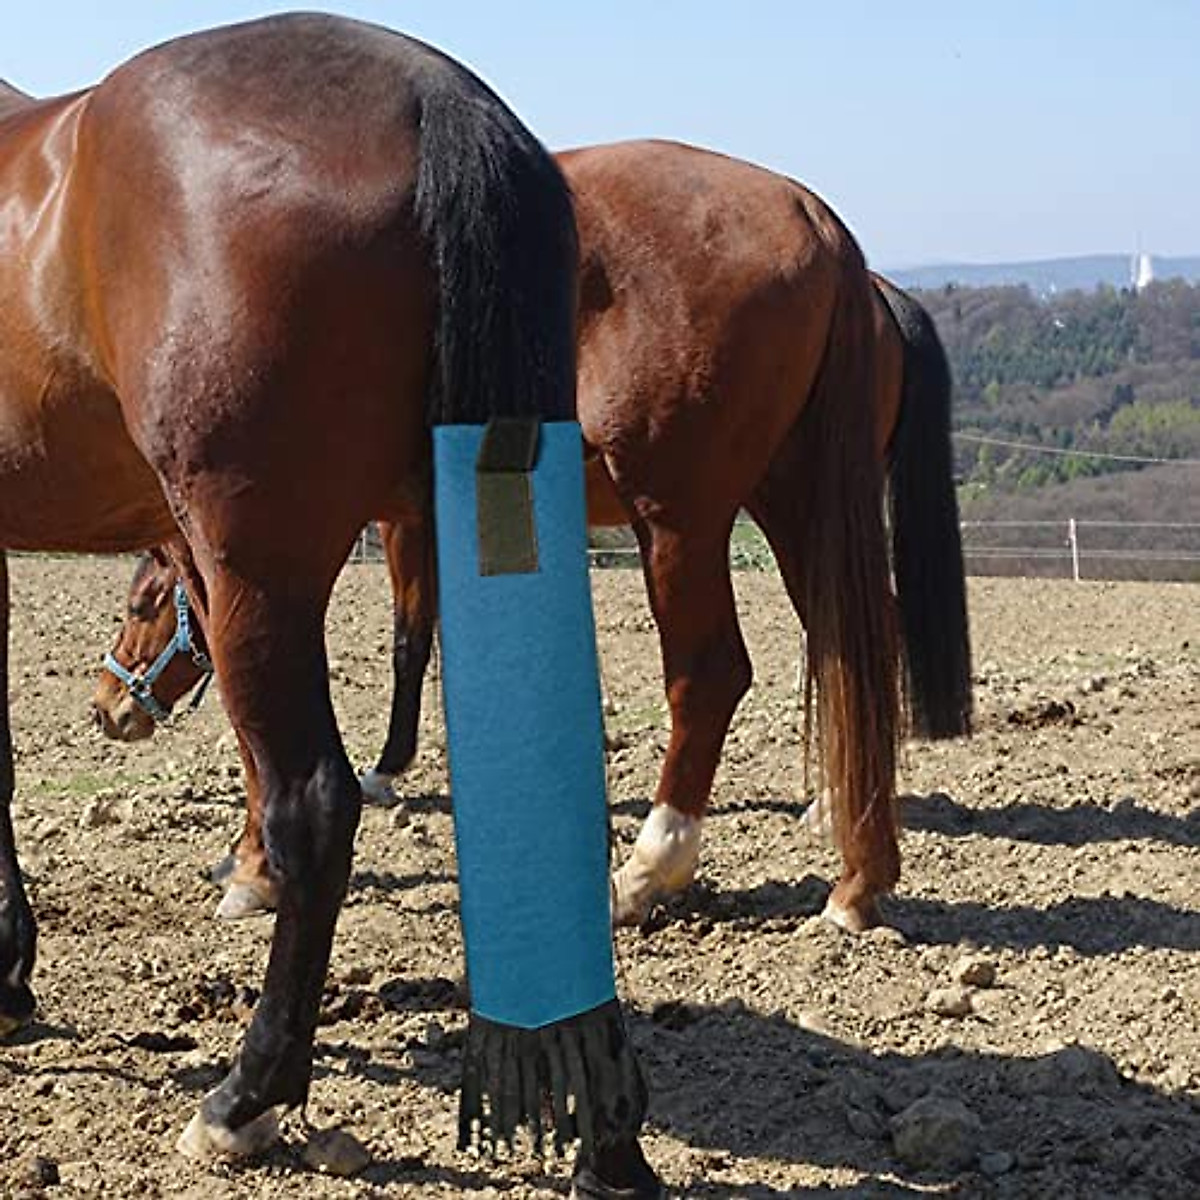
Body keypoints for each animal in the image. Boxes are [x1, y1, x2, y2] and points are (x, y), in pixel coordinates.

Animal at [1, 16, 662, 1194]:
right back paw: (610, 1144)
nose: (108, 710)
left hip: (262, 566)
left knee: (313, 802)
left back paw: (243, 1099)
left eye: (139, 599)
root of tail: (438, 97)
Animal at [95, 140, 971, 933]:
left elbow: (357, 664)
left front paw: (268, 856)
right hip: (797, 504)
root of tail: (815, 221)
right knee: (851, 645)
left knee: (715, 675)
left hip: (682, 521)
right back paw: (856, 869)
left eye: (140, 607)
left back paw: (649, 870)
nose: (108, 707)